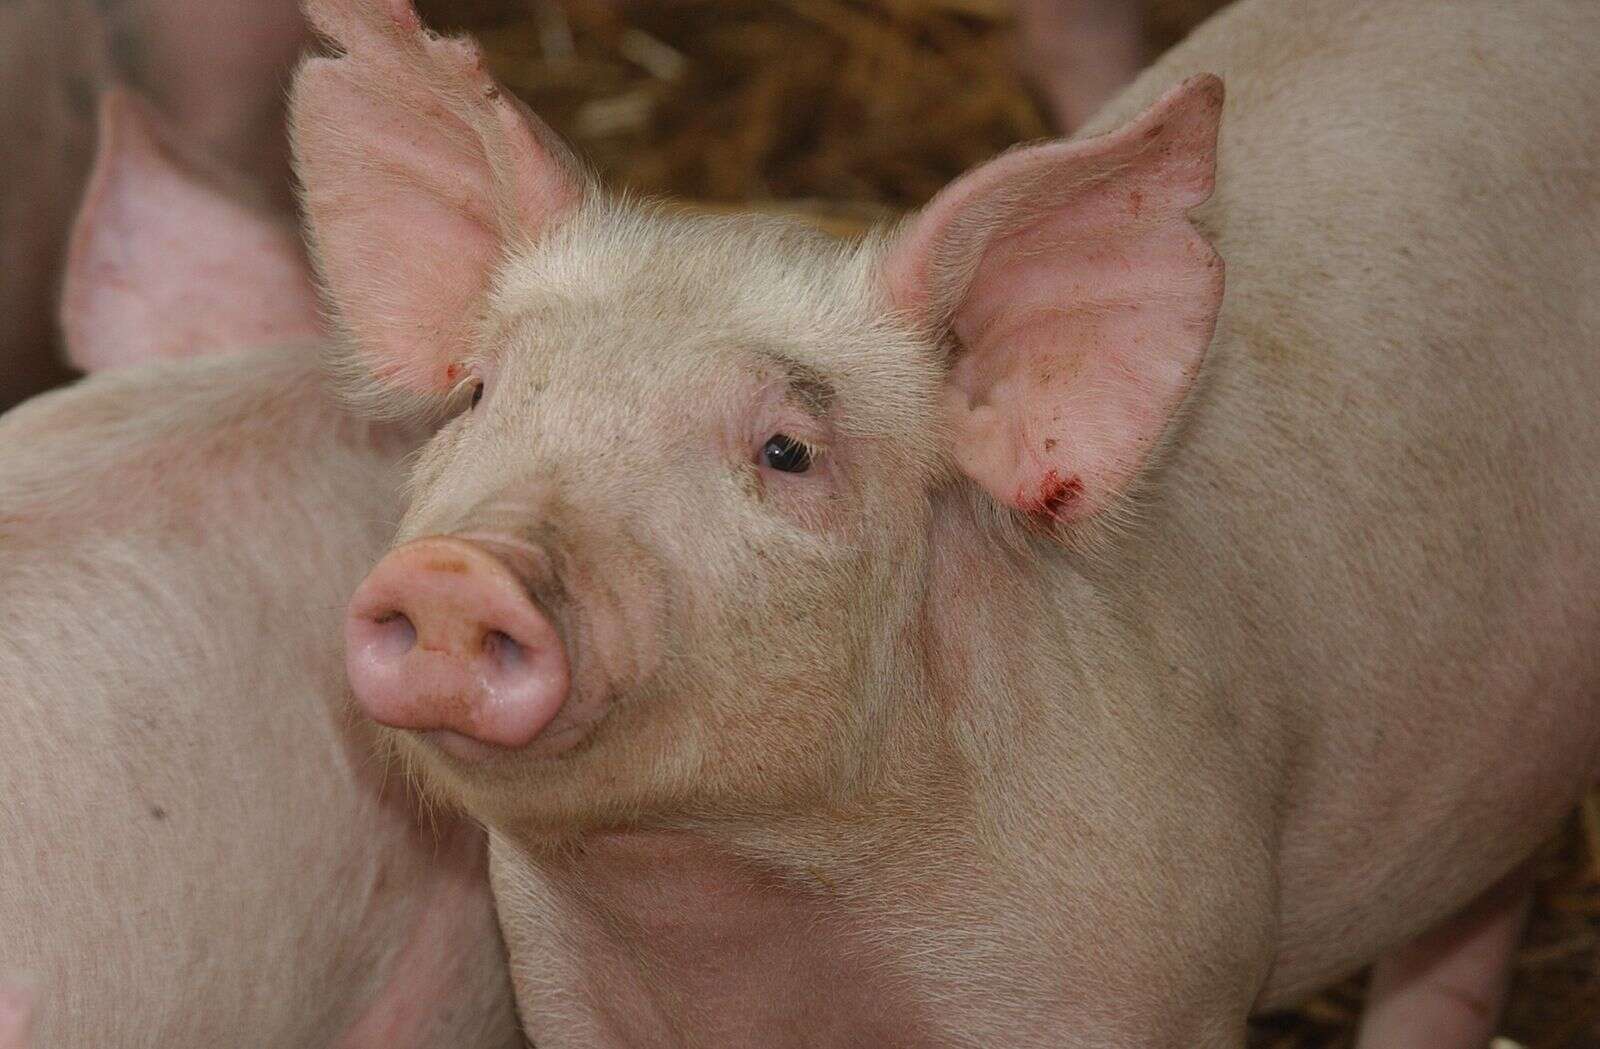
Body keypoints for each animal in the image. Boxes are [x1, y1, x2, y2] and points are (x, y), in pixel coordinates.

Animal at [296, 0, 1600, 1045]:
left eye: (787, 450)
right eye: (480, 394)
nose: (462, 569)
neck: (737, 901)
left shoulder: (1146, 954)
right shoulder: (562, 982)